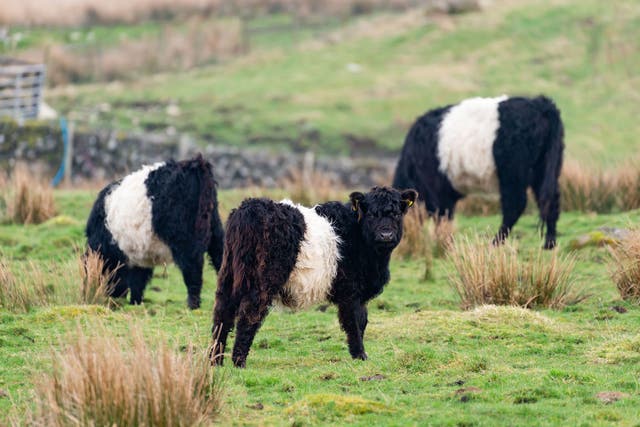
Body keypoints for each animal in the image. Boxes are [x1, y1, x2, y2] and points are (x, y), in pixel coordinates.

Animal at [85, 154, 224, 309]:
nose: (112, 298)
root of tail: (195, 164)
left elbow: (136, 281)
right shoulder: (139, 256)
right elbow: (138, 281)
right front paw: (135, 302)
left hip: (186, 241)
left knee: (193, 272)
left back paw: (192, 305)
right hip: (215, 231)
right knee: (220, 258)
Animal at [210, 186, 417, 367]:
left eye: (396, 214)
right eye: (372, 214)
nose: (386, 234)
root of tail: (249, 208)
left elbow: (363, 321)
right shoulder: (351, 292)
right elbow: (354, 322)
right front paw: (360, 355)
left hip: (228, 275)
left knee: (222, 313)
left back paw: (215, 360)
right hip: (262, 280)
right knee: (249, 315)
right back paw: (239, 362)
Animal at [393, 95, 564, 249]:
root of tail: (541, 104)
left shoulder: (437, 190)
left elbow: (442, 217)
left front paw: (443, 243)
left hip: (513, 174)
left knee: (515, 205)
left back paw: (495, 243)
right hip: (544, 169)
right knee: (549, 200)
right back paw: (549, 243)